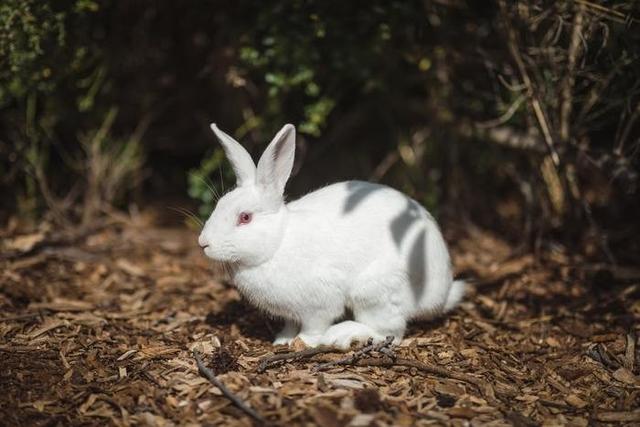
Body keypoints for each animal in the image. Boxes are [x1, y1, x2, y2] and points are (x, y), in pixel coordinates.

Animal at [200, 123, 464, 348]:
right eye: (219, 205)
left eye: (245, 217)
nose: (203, 243)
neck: (277, 244)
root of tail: (441, 293)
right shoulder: (290, 313)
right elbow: (290, 324)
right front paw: (282, 340)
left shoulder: (319, 303)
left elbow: (314, 326)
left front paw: (303, 342)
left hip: (375, 293)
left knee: (390, 332)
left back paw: (342, 335)